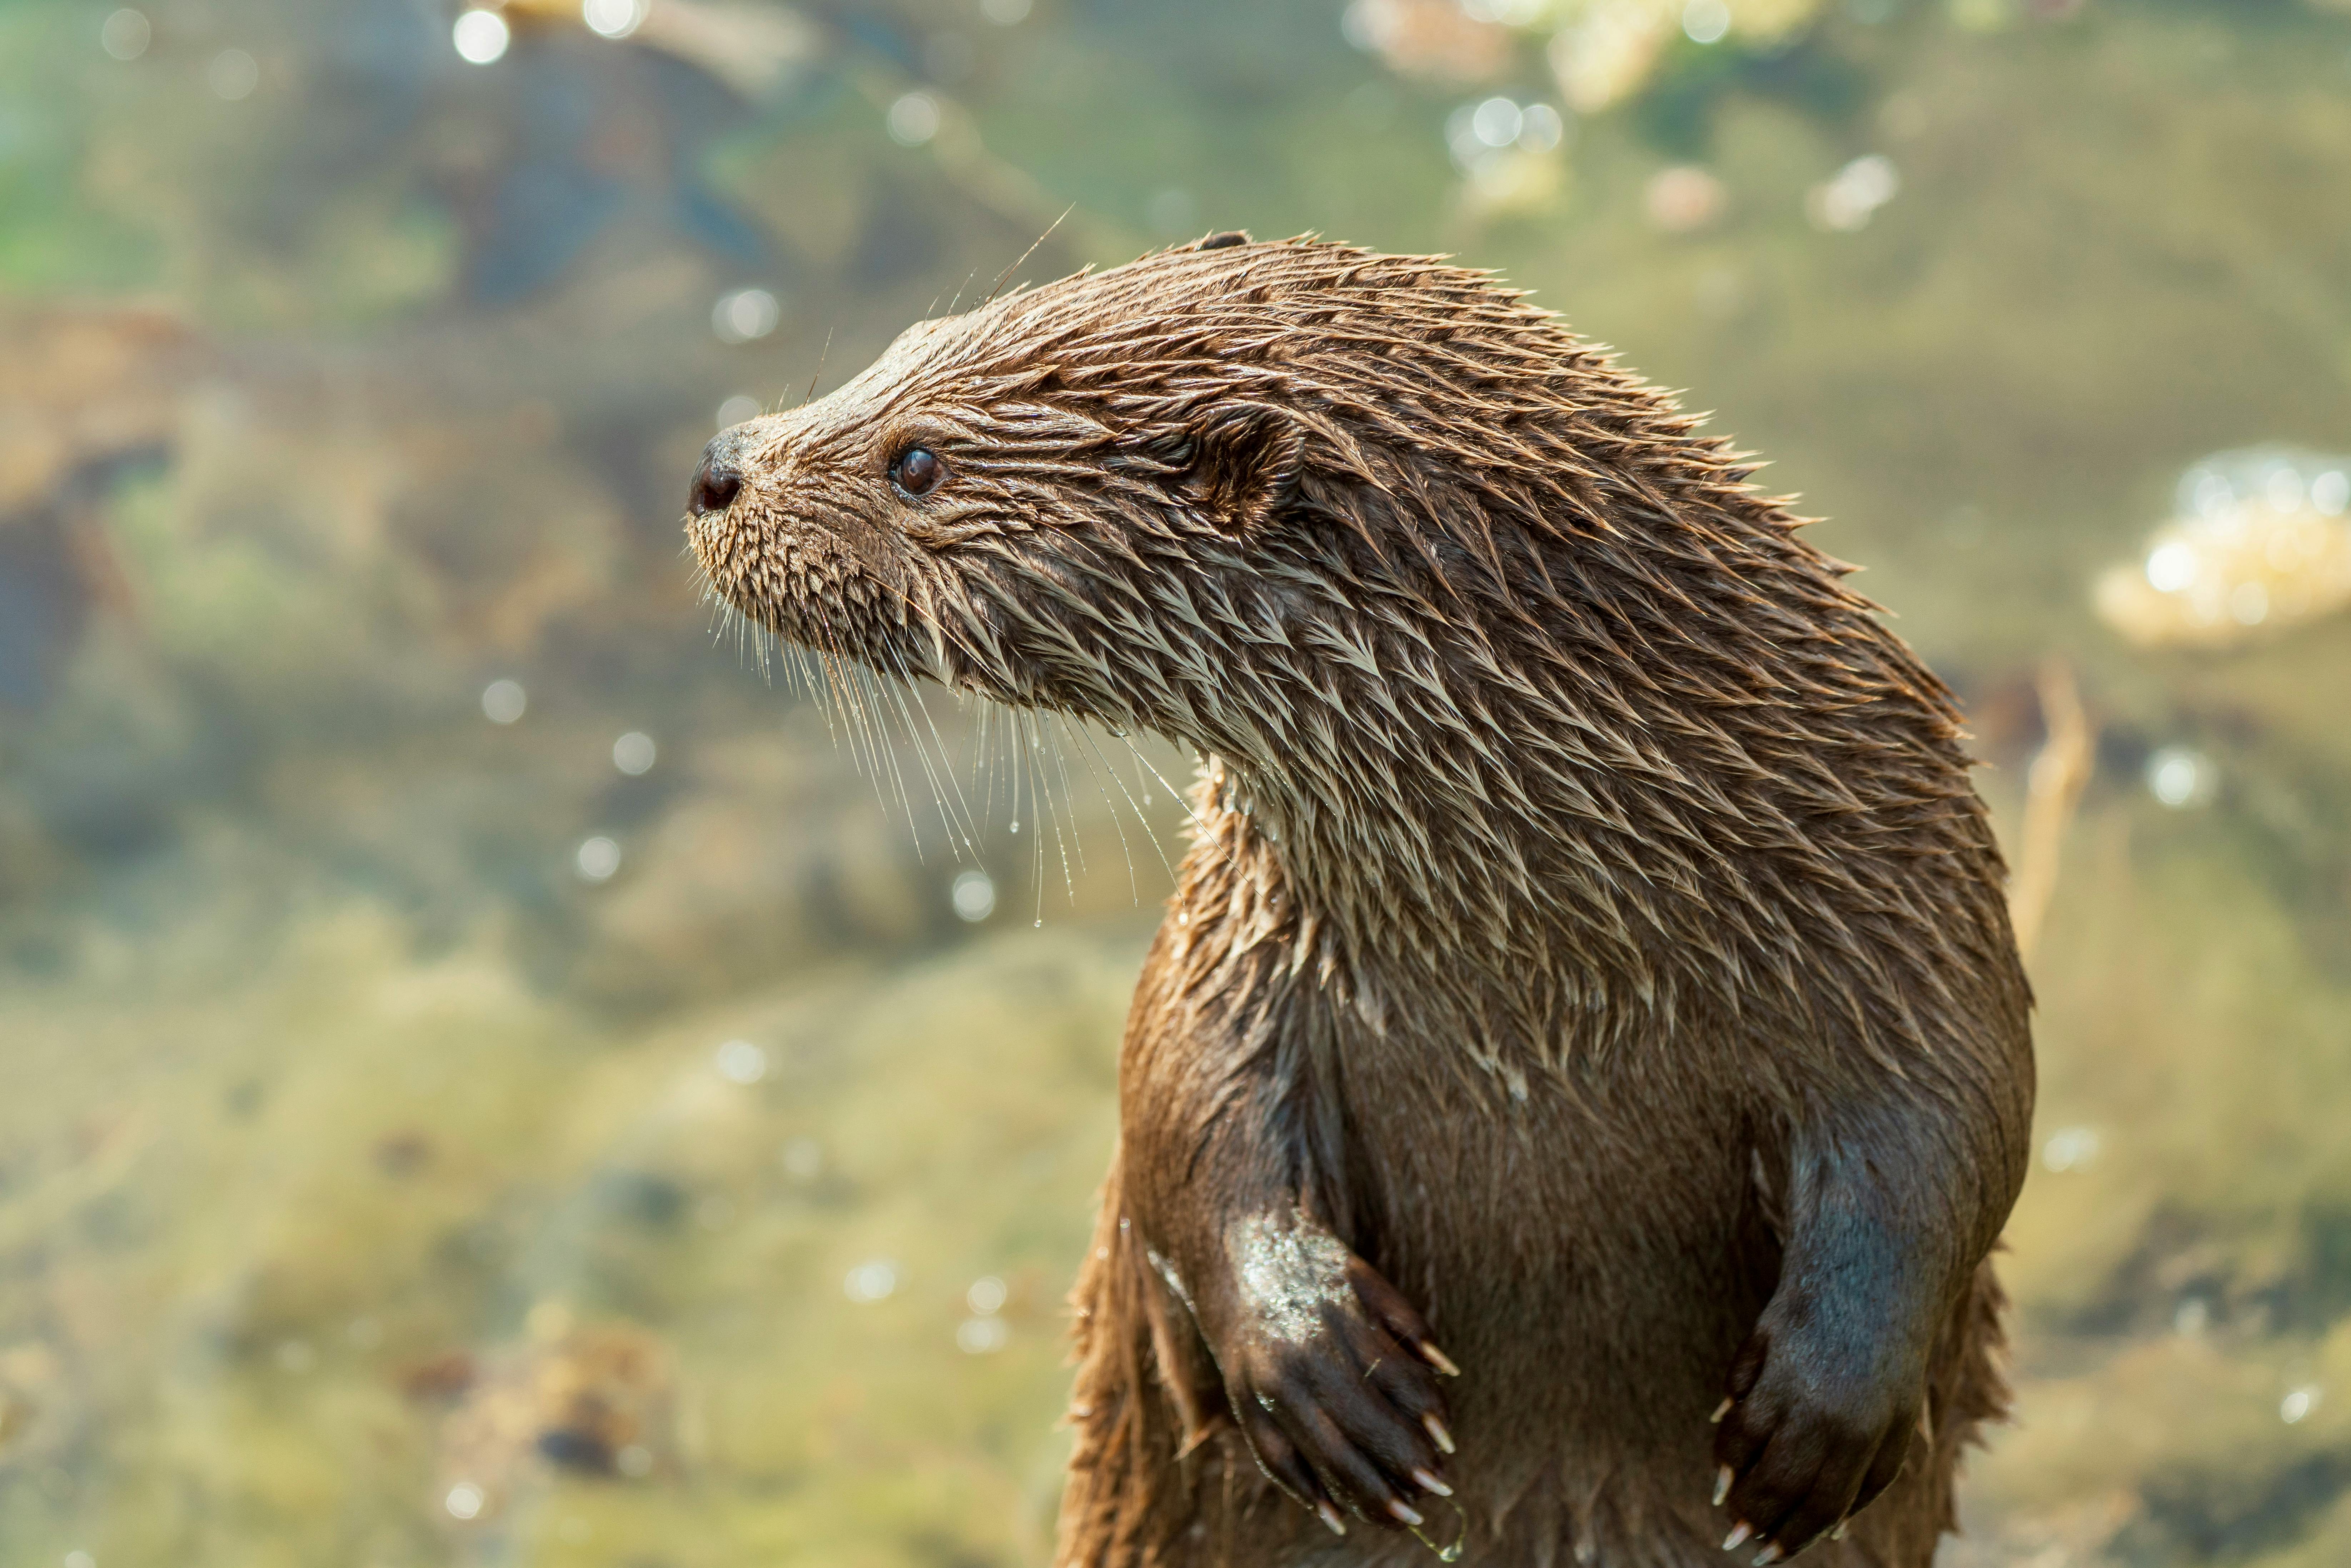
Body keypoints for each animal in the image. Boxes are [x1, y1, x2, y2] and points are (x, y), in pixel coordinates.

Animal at [684, 235, 2033, 1567]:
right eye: (898, 346)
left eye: (916, 460)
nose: (716, 467)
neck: (1540, 966)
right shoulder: (1237, 939)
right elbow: (1178, 1107)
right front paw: (1318, 1366)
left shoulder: (1901, 878)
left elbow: (1958, 1128)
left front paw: (1820, 1413)